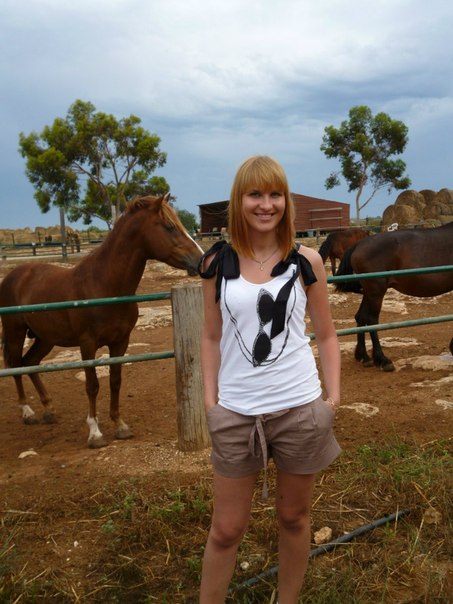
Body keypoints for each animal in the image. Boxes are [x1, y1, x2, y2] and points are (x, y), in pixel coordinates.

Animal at [0, 193, 203, 447]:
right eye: (169, 227)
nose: (201, 259)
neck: (104, 284)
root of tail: (14, 275)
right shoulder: (87, 344)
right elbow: (92, 385)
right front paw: (95, 432)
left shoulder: (120, 342)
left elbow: (115, 381)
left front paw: (120, 425)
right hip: (16, 334)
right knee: (17, 365)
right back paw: (28, 412)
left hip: (45, 339)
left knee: (30, 362)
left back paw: (48, 409)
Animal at [335, 221, 453, 371]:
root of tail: (358, 244)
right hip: (376, 292)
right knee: (371, 320)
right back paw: (382, 360)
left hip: (369, 292)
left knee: (361, 317)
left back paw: (363, 357)